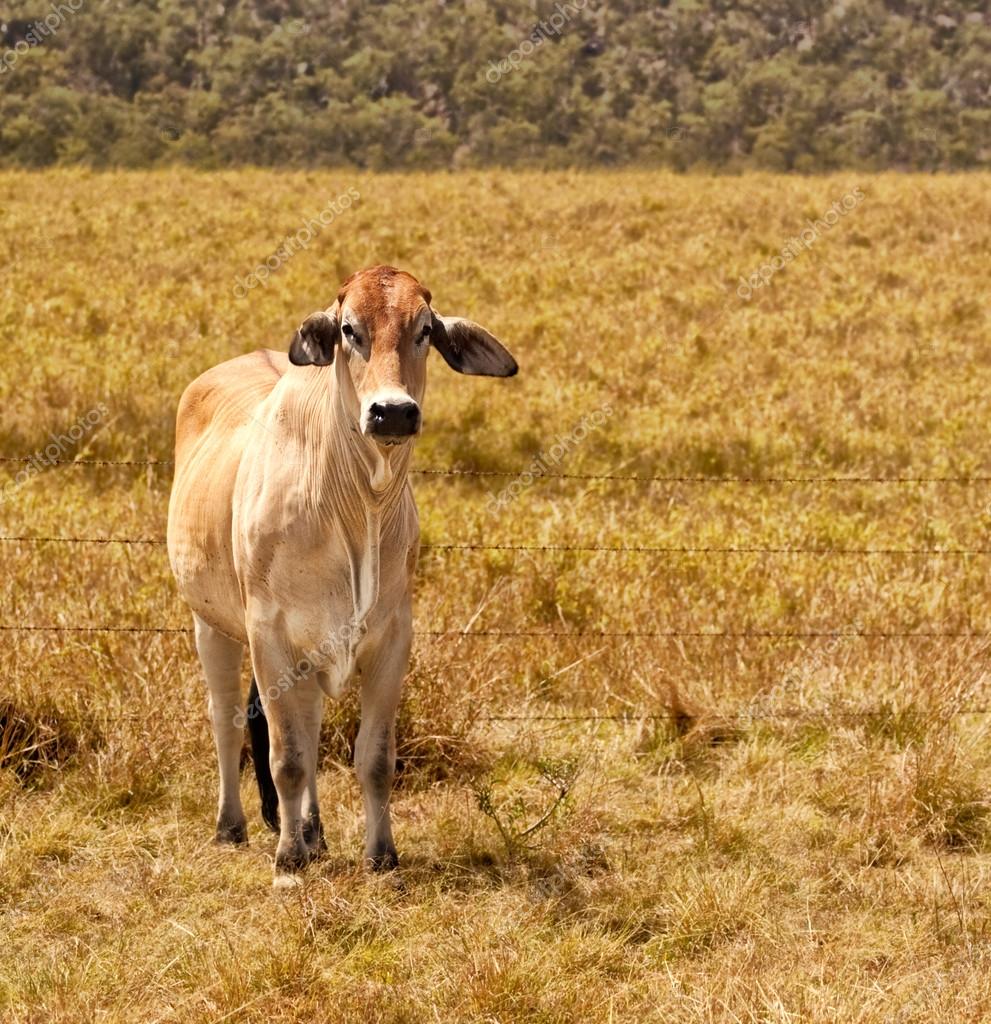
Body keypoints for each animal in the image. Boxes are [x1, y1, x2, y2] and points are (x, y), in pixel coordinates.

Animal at [166, 265, 517, 885]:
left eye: (425, 330)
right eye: (349, 329)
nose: (393, 411)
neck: (355, 507)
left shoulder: (391, 637)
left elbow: (372, 758)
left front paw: (381, 854)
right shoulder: (268, 634)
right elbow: (286, 756)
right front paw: (287, 860)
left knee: (306, 724)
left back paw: (313, 831)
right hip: (211, 623)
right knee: (228, 722)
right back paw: (233, 825)